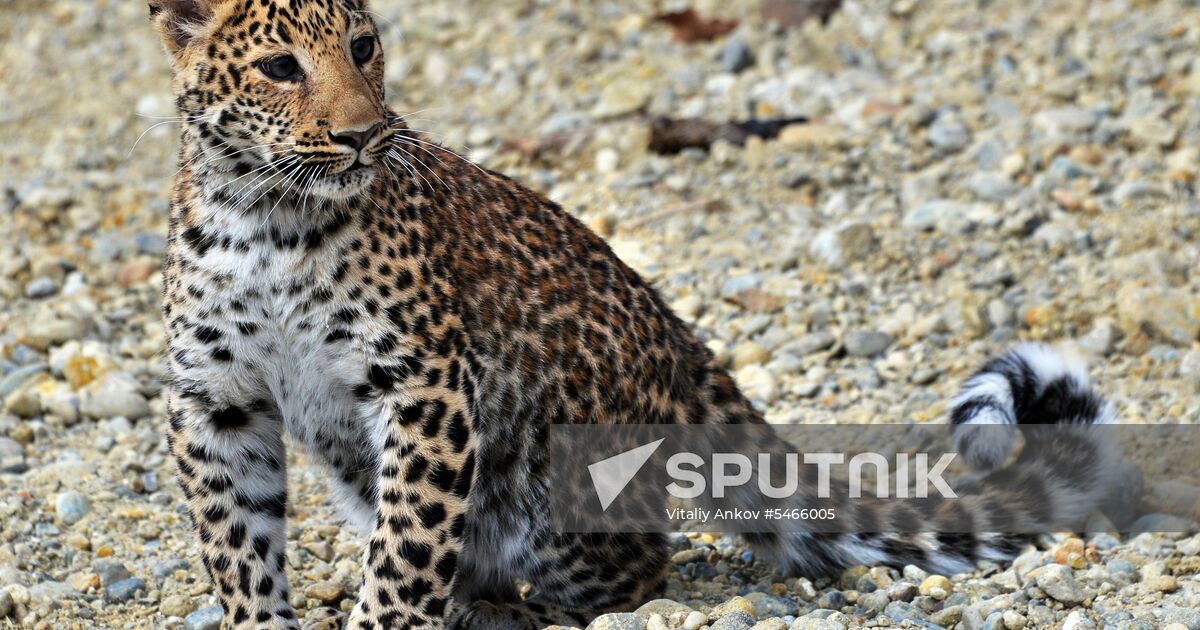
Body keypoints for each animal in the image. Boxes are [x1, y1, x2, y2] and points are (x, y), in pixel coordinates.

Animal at [147, 1, 1119, 629]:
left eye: (364, 46)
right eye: (281, 68)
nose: (361, 135)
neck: (265, 220)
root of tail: (678, 337)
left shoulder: (423, 389)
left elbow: (403, 556)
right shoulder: (216, 401)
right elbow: (239, 548)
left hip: (554, 488)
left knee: (635, 565)